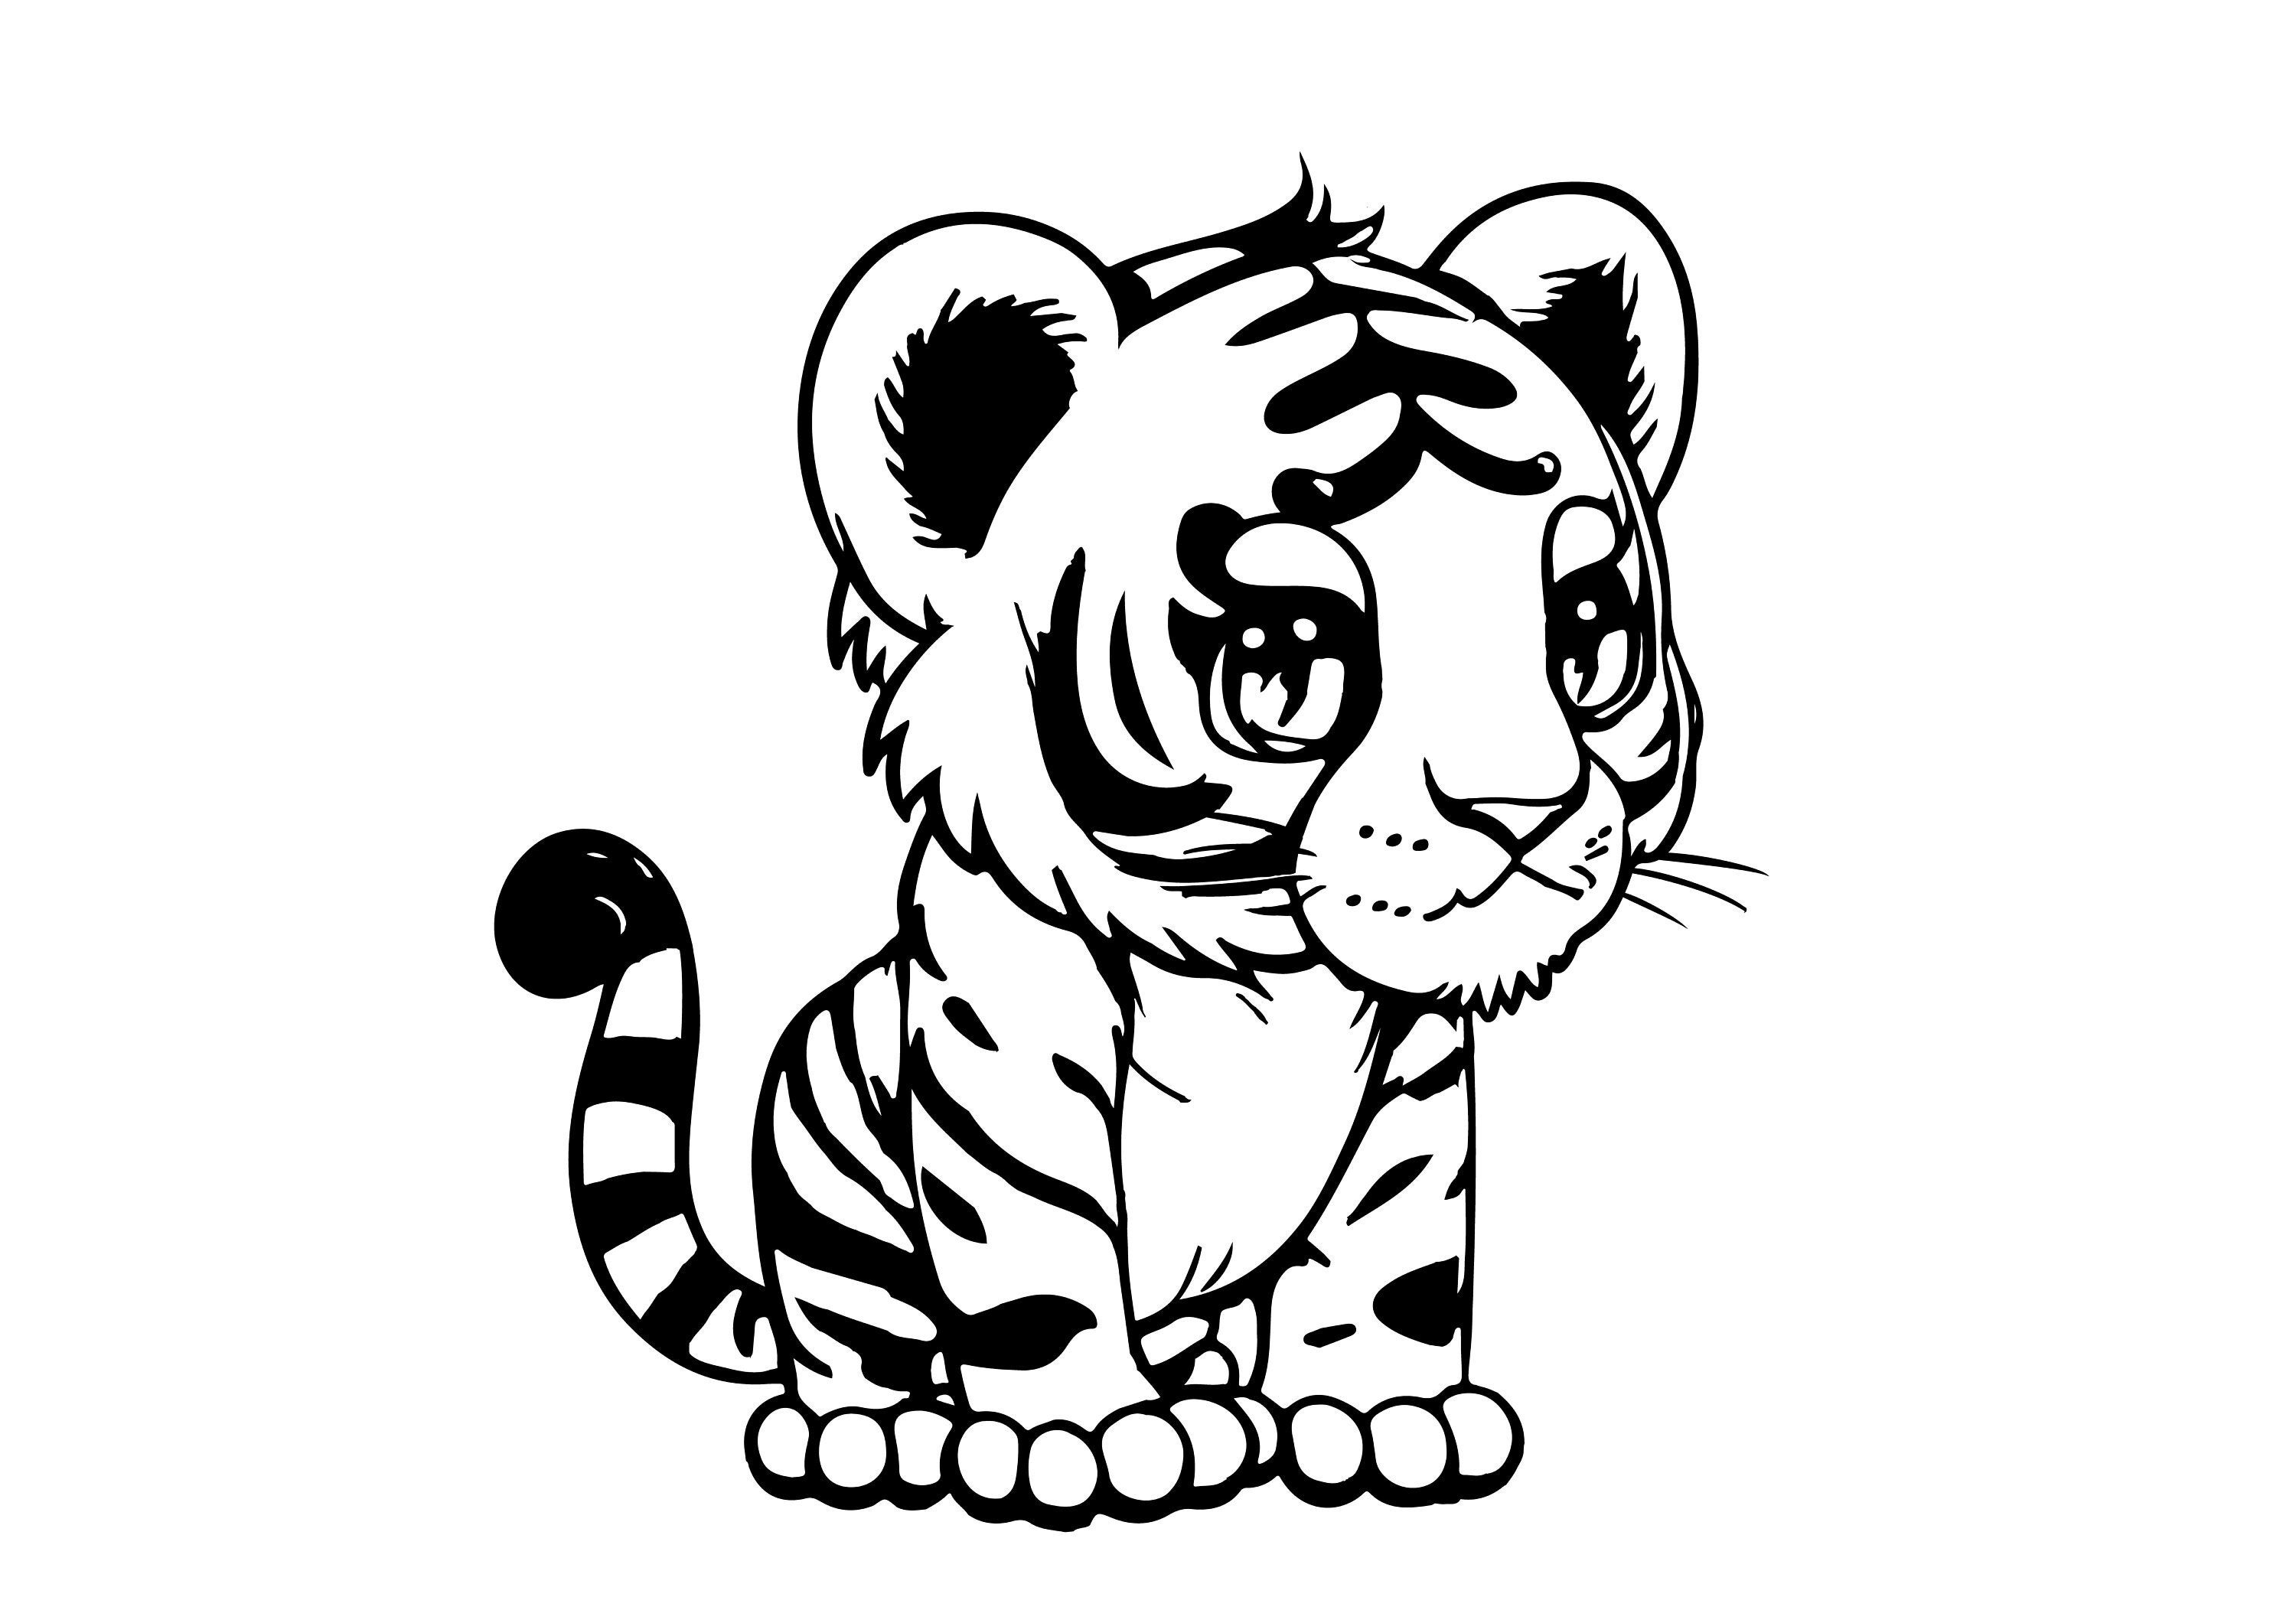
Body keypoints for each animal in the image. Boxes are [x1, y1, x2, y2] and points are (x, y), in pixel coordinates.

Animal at [495, 176, 1743, 1528]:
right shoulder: (1009, 1054)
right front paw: (1087, 1439)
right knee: (847, 1338)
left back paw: (1213, 1388)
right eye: (1288, 653)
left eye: (1587, 636)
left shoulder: (1412, 1085)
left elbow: (1394, 1262)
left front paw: (1377, 1416)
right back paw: (877, 1433)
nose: (1520, 809)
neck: (1272, 977)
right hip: (824, 1198)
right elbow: (1040, 1261)